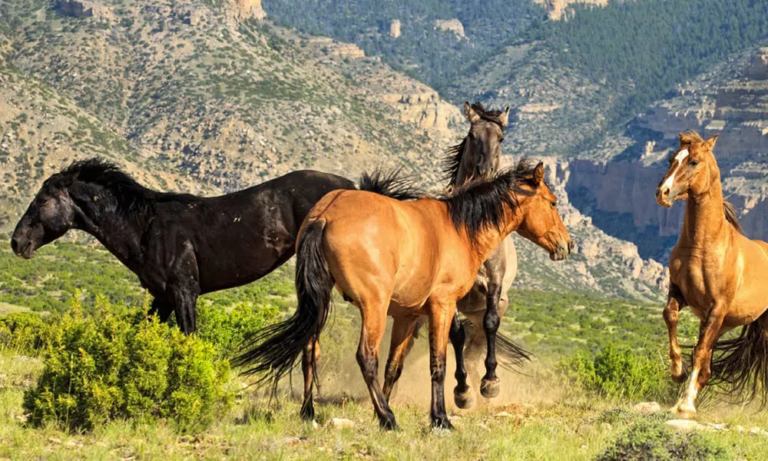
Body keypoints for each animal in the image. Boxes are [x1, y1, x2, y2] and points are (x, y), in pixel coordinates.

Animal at [11, 158, 357, 334]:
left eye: (42, 199)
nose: (17, 242)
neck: (146, 228)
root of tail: (349, 186)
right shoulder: (162, 297)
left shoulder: (184, 292)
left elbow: (188, 338)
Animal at [236, 160, 573, 430]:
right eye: (554, 203)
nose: (567, 244)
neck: (459, 228)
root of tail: (325, 215)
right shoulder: (442, 306)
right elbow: (438, 363)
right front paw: (440, 418)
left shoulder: (408, 316)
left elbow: (394, 367)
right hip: (372, 306)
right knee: (365, 357)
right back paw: (388, 419)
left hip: (320, 300)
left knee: (310, 350)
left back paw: (310, 412)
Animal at [655, 131, 768, 417]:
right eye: (672, 159)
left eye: (694, 161)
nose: (662, 192)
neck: (703, 245)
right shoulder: (682, 294)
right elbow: (670, 316)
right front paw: (678, 372)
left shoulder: (716, 308)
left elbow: (699, 351)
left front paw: (686, 404)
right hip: (724, 324)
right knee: (707, 367)